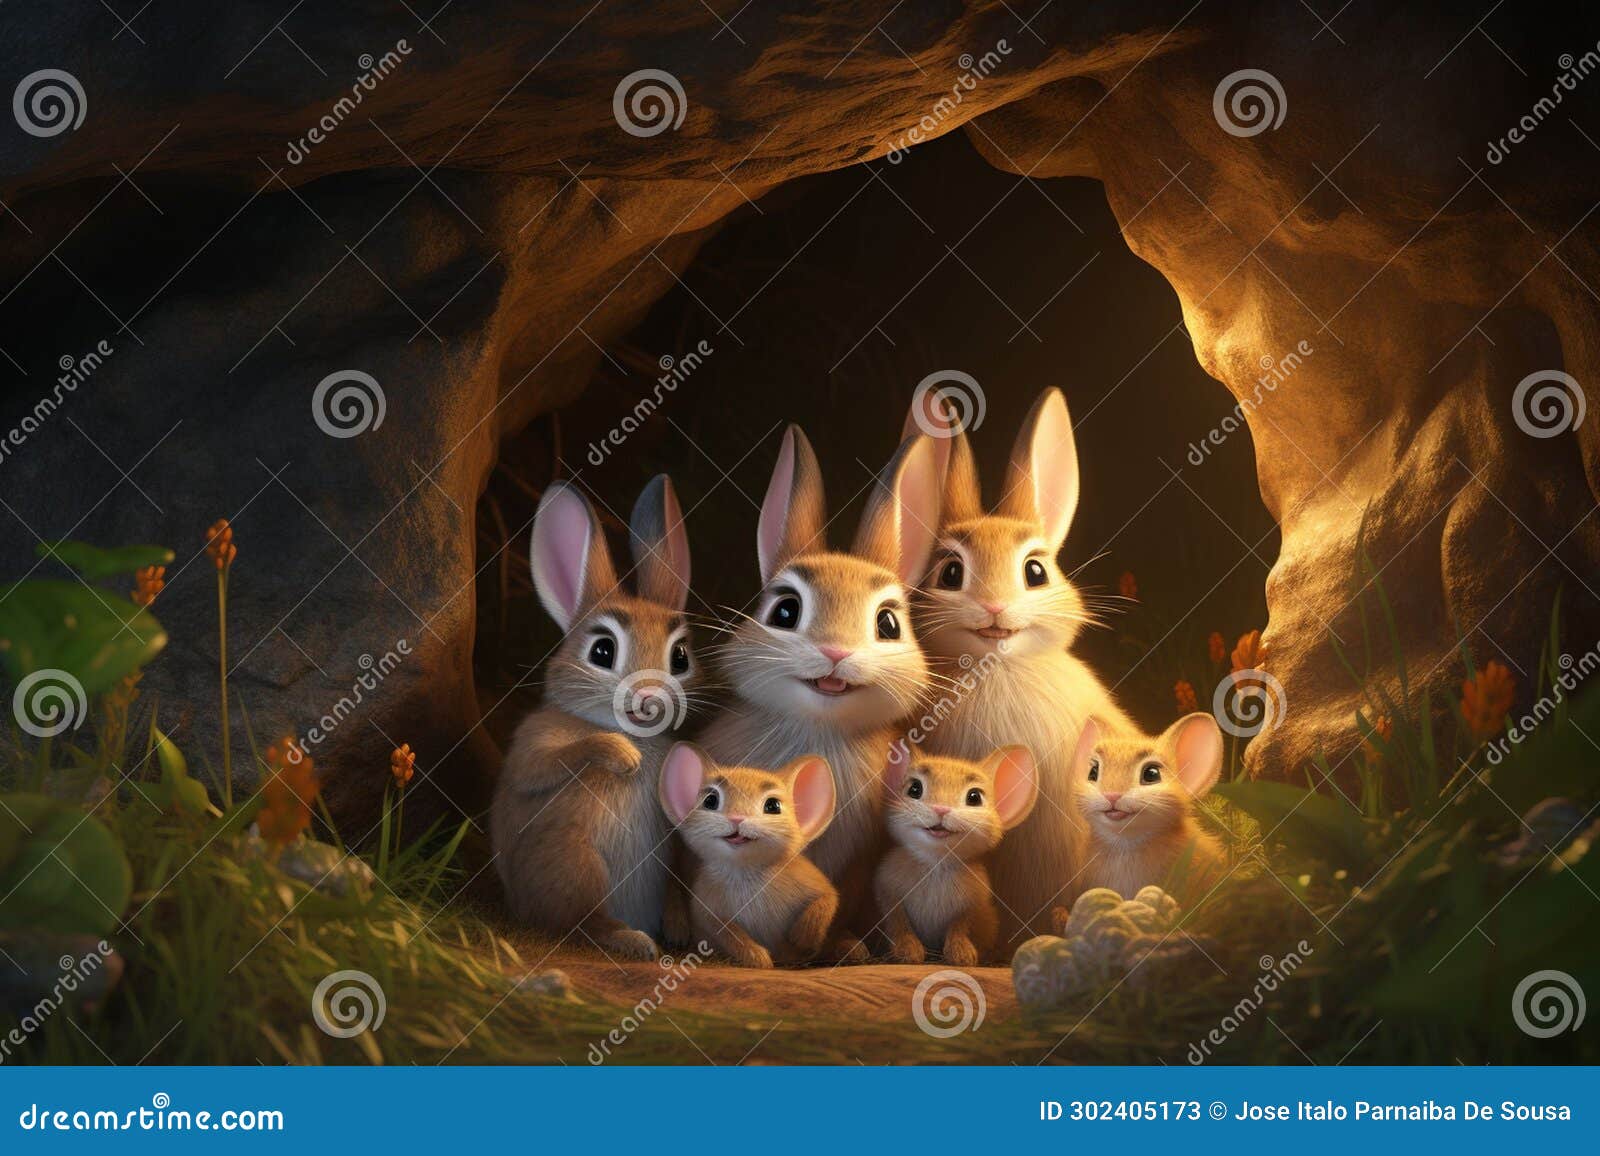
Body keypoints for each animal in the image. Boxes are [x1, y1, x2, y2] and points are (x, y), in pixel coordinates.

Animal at [491, 474, 702, 961]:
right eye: (603, 651)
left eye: (680, 657)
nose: (650, 697)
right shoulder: (534, 739)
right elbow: (539, 766)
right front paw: (623, 758)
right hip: (576, 861)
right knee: (578, 922)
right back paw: (630, 939)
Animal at [658, 742, 838, 968]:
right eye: (710, 801)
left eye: (773, 805)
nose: (737, 818)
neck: (746, 871)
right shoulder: (706, 908)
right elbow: (726, 931)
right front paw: (759, 958)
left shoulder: (813, 881)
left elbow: (827, 899)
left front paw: (802, 939)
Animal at [698, 425, 941, 960]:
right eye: (786, 610)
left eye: (888, 623)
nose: (835, 652)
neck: (820, 728)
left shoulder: (855, 863)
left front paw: (838, 948)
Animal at [875, 743, 1038, 966]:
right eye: (914, 789)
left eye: (974, 797)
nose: (941, 809)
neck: (937, 862)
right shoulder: (889, 895)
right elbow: (899, 923)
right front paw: (908, 952)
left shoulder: (970, 907)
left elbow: (959, 928)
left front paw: (961, 956)